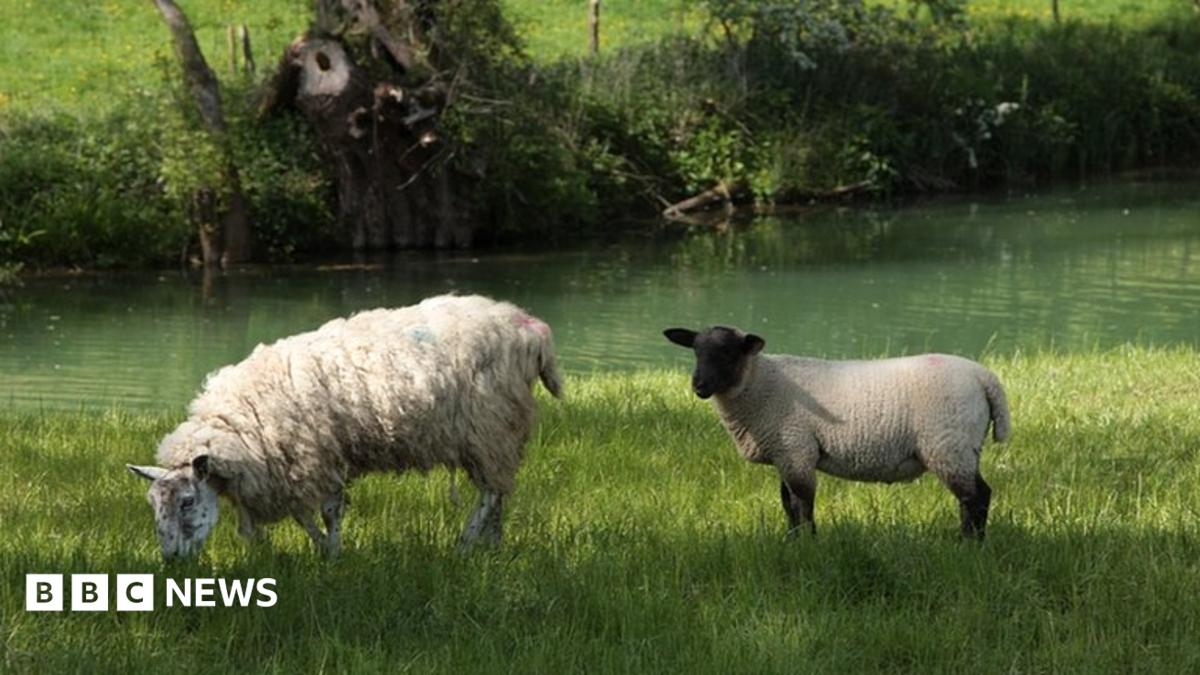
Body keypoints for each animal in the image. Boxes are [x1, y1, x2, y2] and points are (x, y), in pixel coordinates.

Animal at [126, 294, 563, 559]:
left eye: (187, 501)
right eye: (153, 504)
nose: (170, 561)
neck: (242, 423)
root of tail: (528, 326)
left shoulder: (320, 454)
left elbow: (327, 512)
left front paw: (332, 553)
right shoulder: (296, 464)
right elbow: (301, 515)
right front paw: (319, 549)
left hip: (489, 425)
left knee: (490, 492)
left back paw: (466, 543)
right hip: (498, 431)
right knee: (500, 491)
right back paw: (492, 543)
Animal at [663, 326, 1010, 540]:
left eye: (728, 353)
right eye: (695, 351)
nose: (698, 386)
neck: (759, 384)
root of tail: (985, 378)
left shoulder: (796, 449)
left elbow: (803, 503)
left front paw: (810, 543)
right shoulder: (785, 453)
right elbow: (787, 503)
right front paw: (790, 542)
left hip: (949, 445)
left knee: (976, 496)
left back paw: (969, 544)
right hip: (961, 448)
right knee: (972, 497)